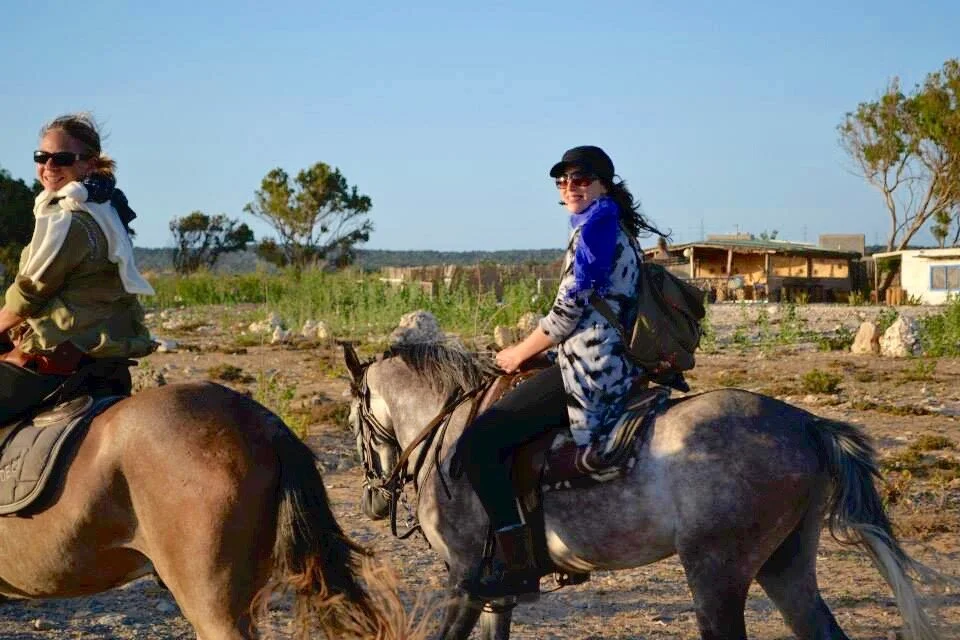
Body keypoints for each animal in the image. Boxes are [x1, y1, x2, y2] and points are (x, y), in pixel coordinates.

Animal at [342, 341, 945, 640]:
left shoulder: (465, 577)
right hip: (785, 566)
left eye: (353, 420)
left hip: (716, 575)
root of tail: (806, 424)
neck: (448, 433)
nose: (373, 499)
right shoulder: (496, 591)